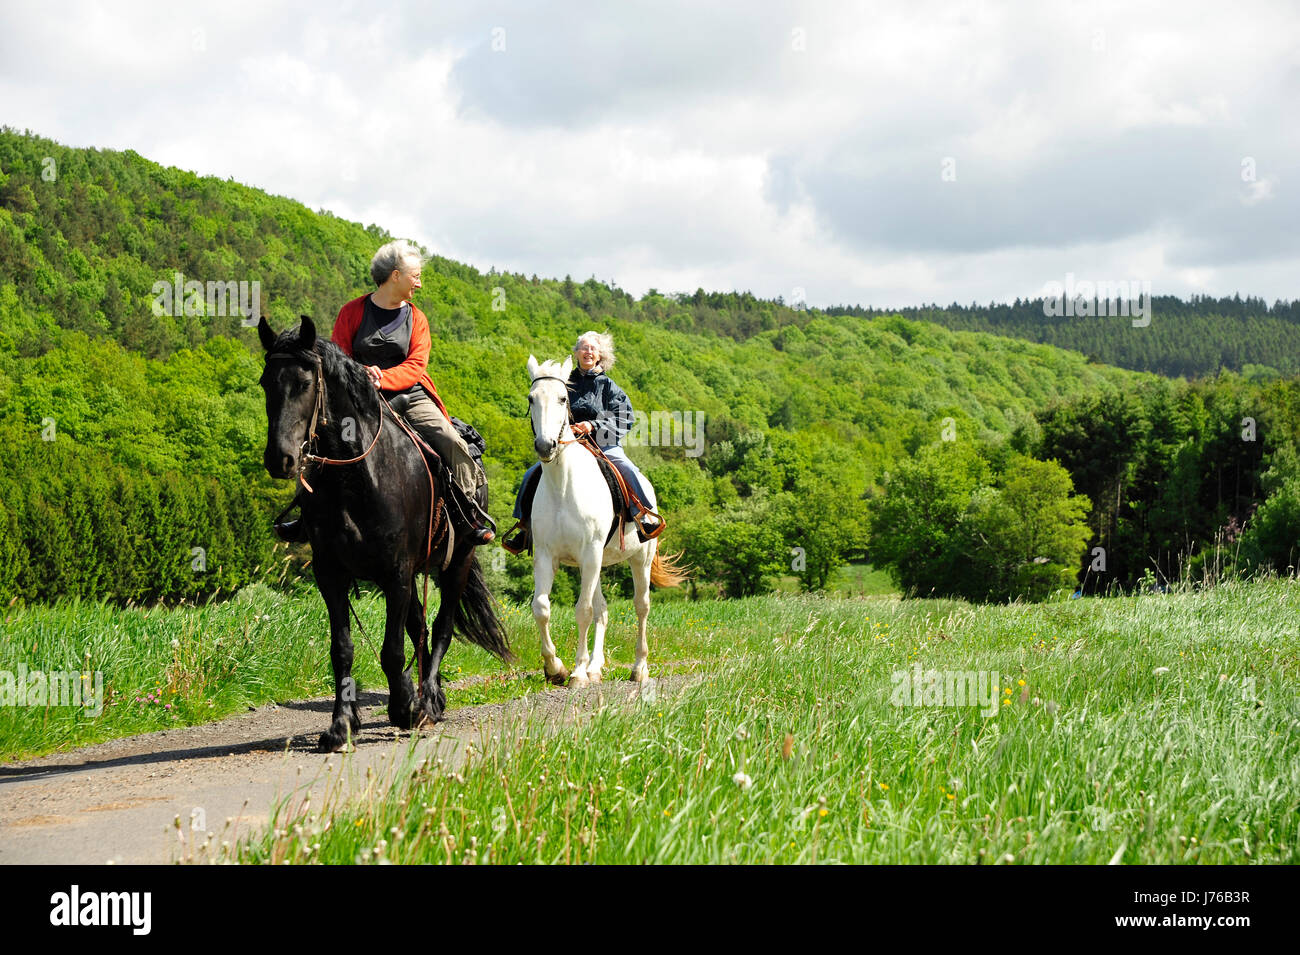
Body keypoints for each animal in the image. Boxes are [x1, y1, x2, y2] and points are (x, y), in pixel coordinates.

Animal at [258, 316, 511, 752]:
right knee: (420, 627)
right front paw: (342, 725)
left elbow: (392, 650)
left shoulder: (396, 572)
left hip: (457, 562)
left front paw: (407, 709)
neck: (357, 478)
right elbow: (342, 649)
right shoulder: (332, 575)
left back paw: (428, 700)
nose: (280, 459)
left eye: (304, 383)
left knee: (440, 628)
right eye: (264, 383)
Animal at [523, 354, 688, 686]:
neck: (563, 485)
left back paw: (639, 668)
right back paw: (596, 667)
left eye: (562, 398)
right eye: (532, 398)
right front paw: (555, 667)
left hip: (638, 560)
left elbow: (583, 611)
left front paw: (576, 673)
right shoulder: (548, 556)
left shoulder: (590, 553)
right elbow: (542, 607)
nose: (545, 446)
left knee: (641, 606)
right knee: (603, 609)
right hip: (595, 564)